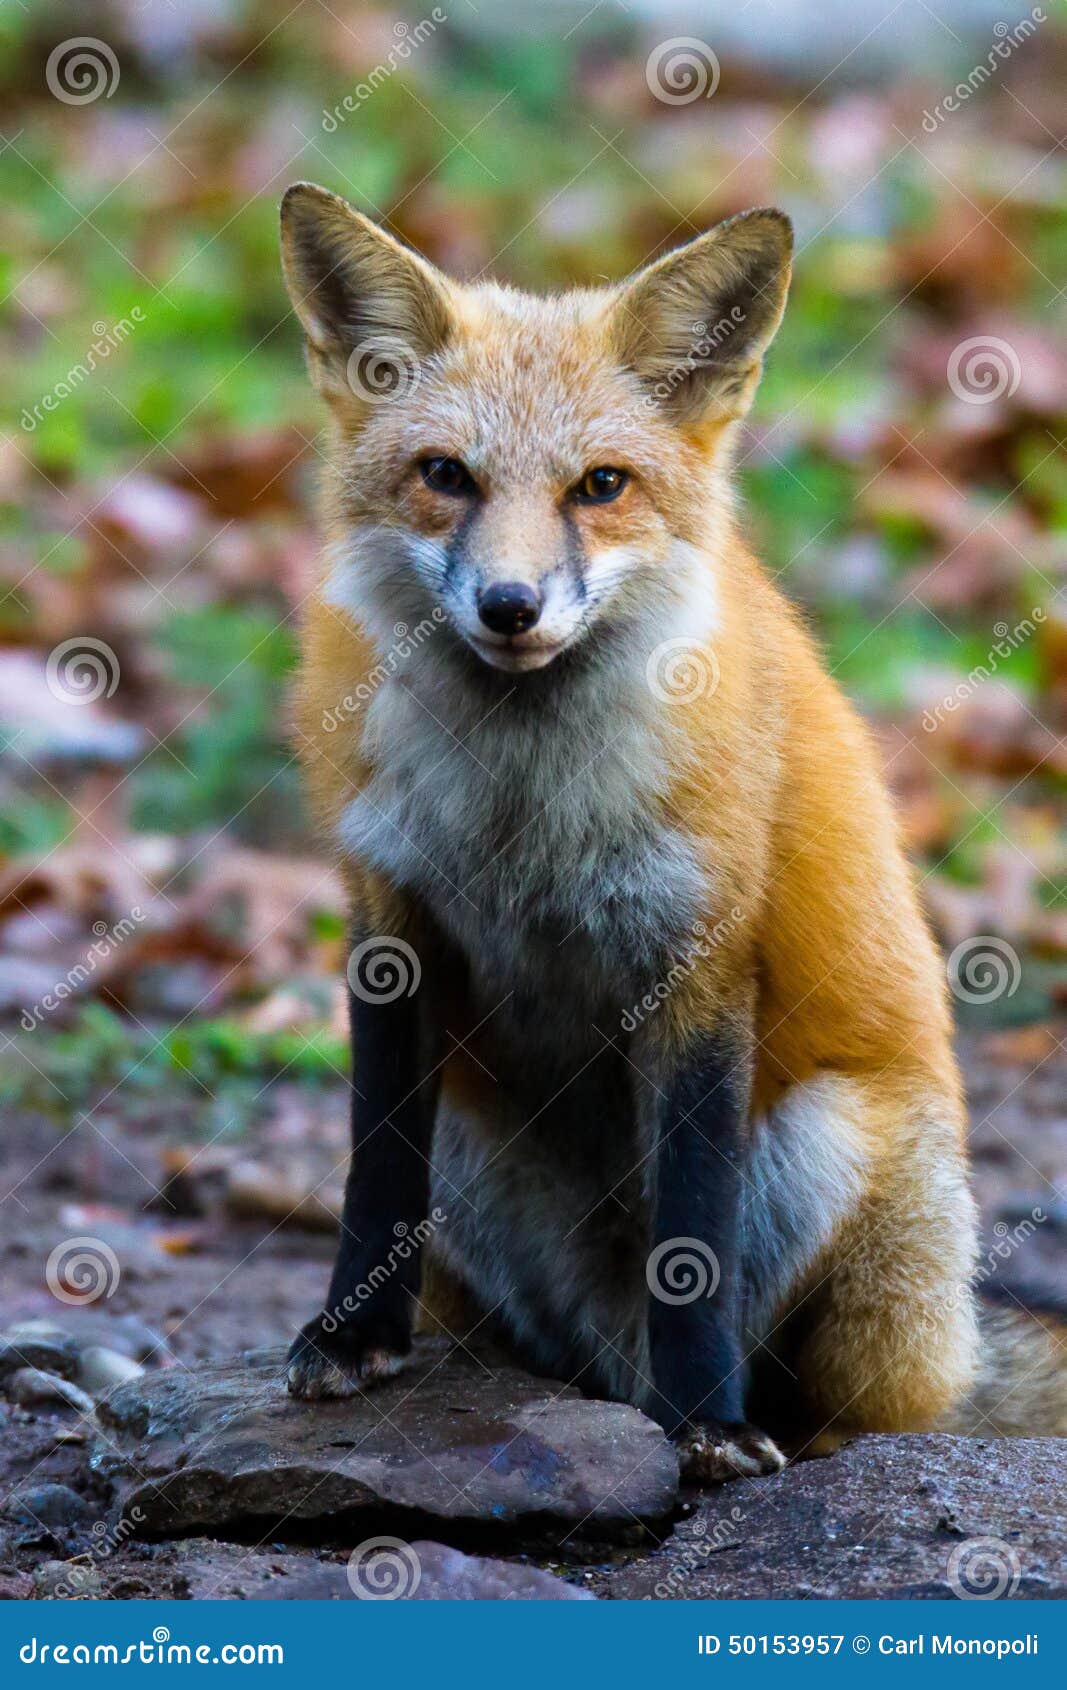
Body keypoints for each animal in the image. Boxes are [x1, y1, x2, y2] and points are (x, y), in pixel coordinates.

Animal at [279, 181, 1065, 1480]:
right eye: (445, 474)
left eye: (599, 486)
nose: (510, 606)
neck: (520, 808)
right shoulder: (388, 916)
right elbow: (372, 1167)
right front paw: (351, 1338)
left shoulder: (697, 948)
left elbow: (690, 1238)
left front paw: (705, 1423)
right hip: (480, 1165)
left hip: (832, 1144)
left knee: (846, 1404)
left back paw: (750, 1415)